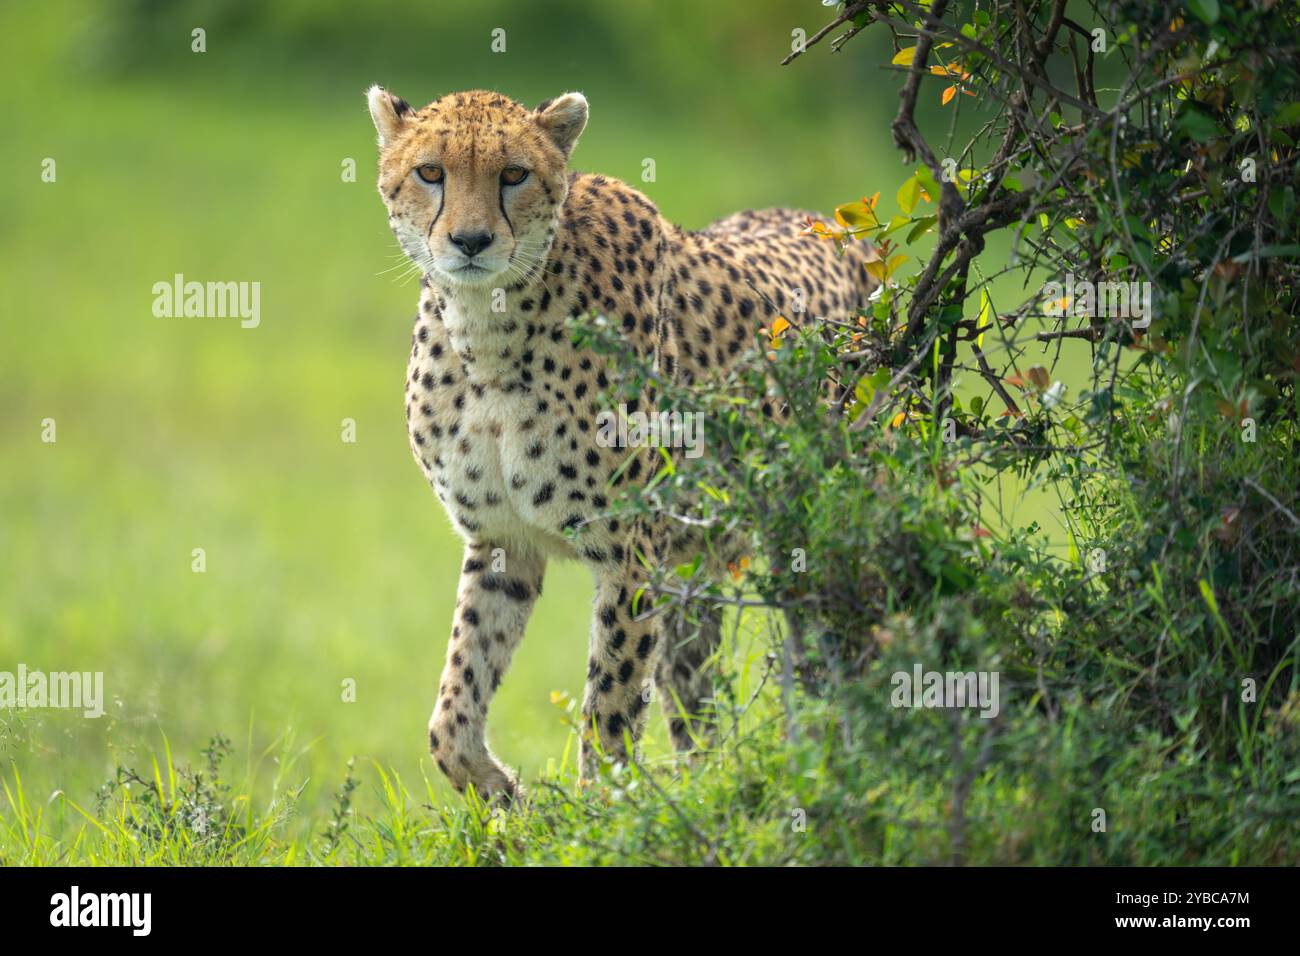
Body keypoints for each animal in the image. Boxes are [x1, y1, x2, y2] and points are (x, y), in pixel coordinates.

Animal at [366, 85, 876, 800]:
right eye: (430, 172)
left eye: (514, 174)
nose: (470, 241)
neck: (490, 333)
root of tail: (832, 224)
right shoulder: (503, 543)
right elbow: (452, 712)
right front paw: (506, 794)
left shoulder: (632, 552)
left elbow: (607, 709)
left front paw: (599, 809)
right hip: (699, 566)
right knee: (694, 688)